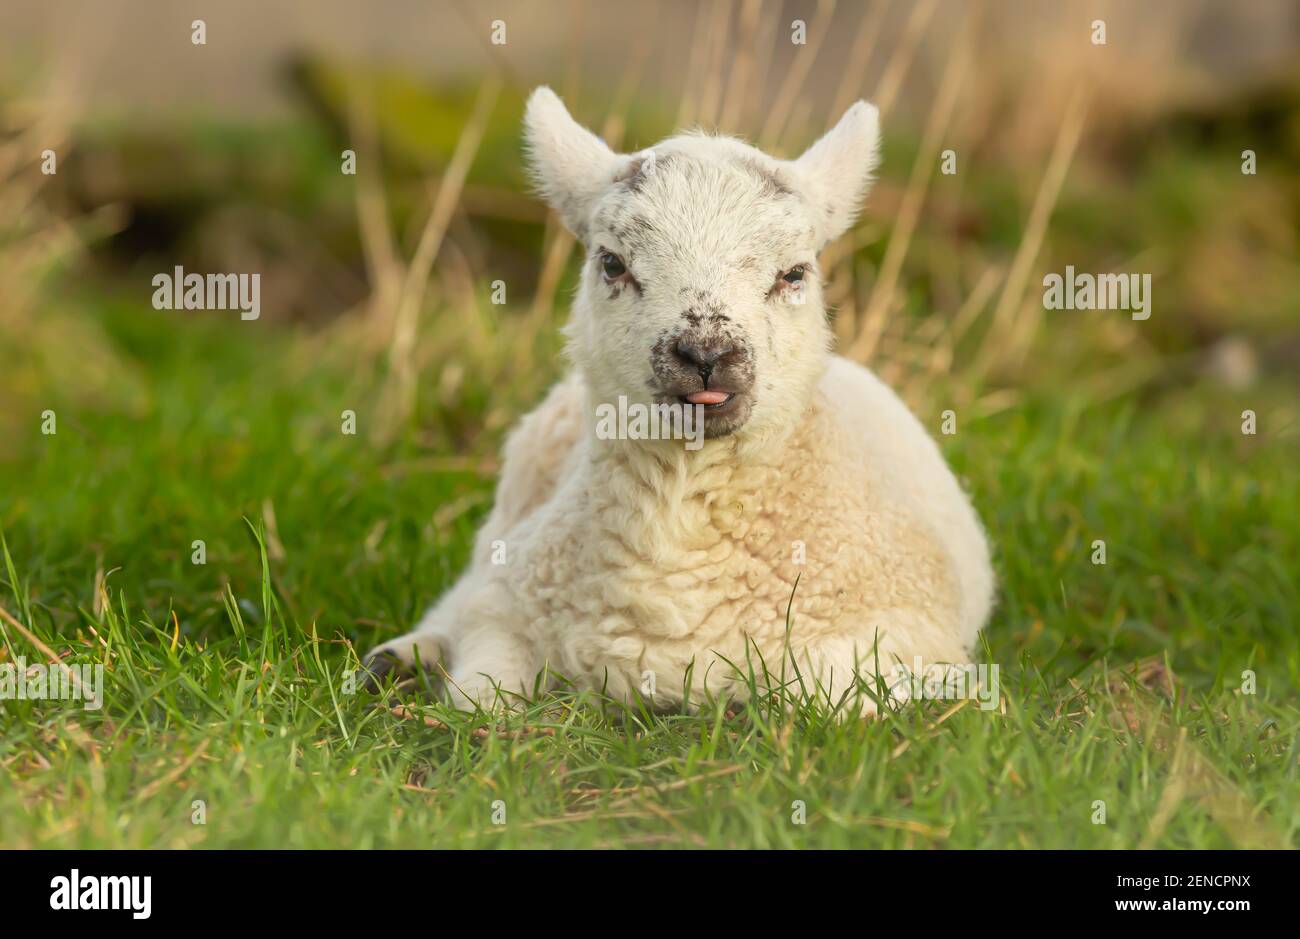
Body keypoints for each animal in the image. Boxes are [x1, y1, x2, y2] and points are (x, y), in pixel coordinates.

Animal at [363, 87, 995, 716]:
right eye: (612, 263)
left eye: (794, 273)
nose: (706, 353)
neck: (678, 532)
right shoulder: (508, 599)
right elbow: (480, 700)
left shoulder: (905, 633)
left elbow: (825, 694)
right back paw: (398, 659)